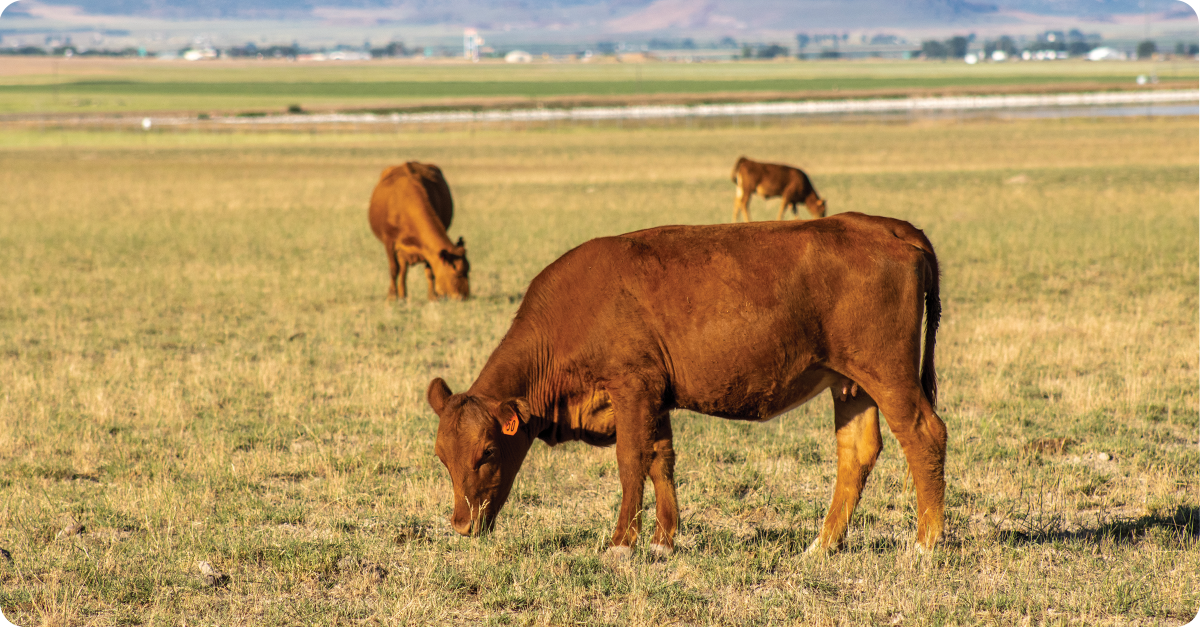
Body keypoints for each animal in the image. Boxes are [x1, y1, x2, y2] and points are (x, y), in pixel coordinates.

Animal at [368, 162, 469, 301]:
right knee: (402, 270)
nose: (465, 296)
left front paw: (433, 297)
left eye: (468, 270)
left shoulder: (428, 249)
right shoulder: (389, 241)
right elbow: (394, 269)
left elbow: (430, 271)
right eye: (456, 273)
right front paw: (392, 297)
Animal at [428, 212, 946, 558]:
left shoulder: (632, 387)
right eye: (441, 457)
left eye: (487, 451)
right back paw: (821, 545)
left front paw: (621, 543)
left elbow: (631, 462)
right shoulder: (655, 398)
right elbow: (661, 461)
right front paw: (663, 540)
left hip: (889, 374)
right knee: (856, 451)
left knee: (925, 434)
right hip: (851, 383)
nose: (461, 525)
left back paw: (925, 543)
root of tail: (887, 226)